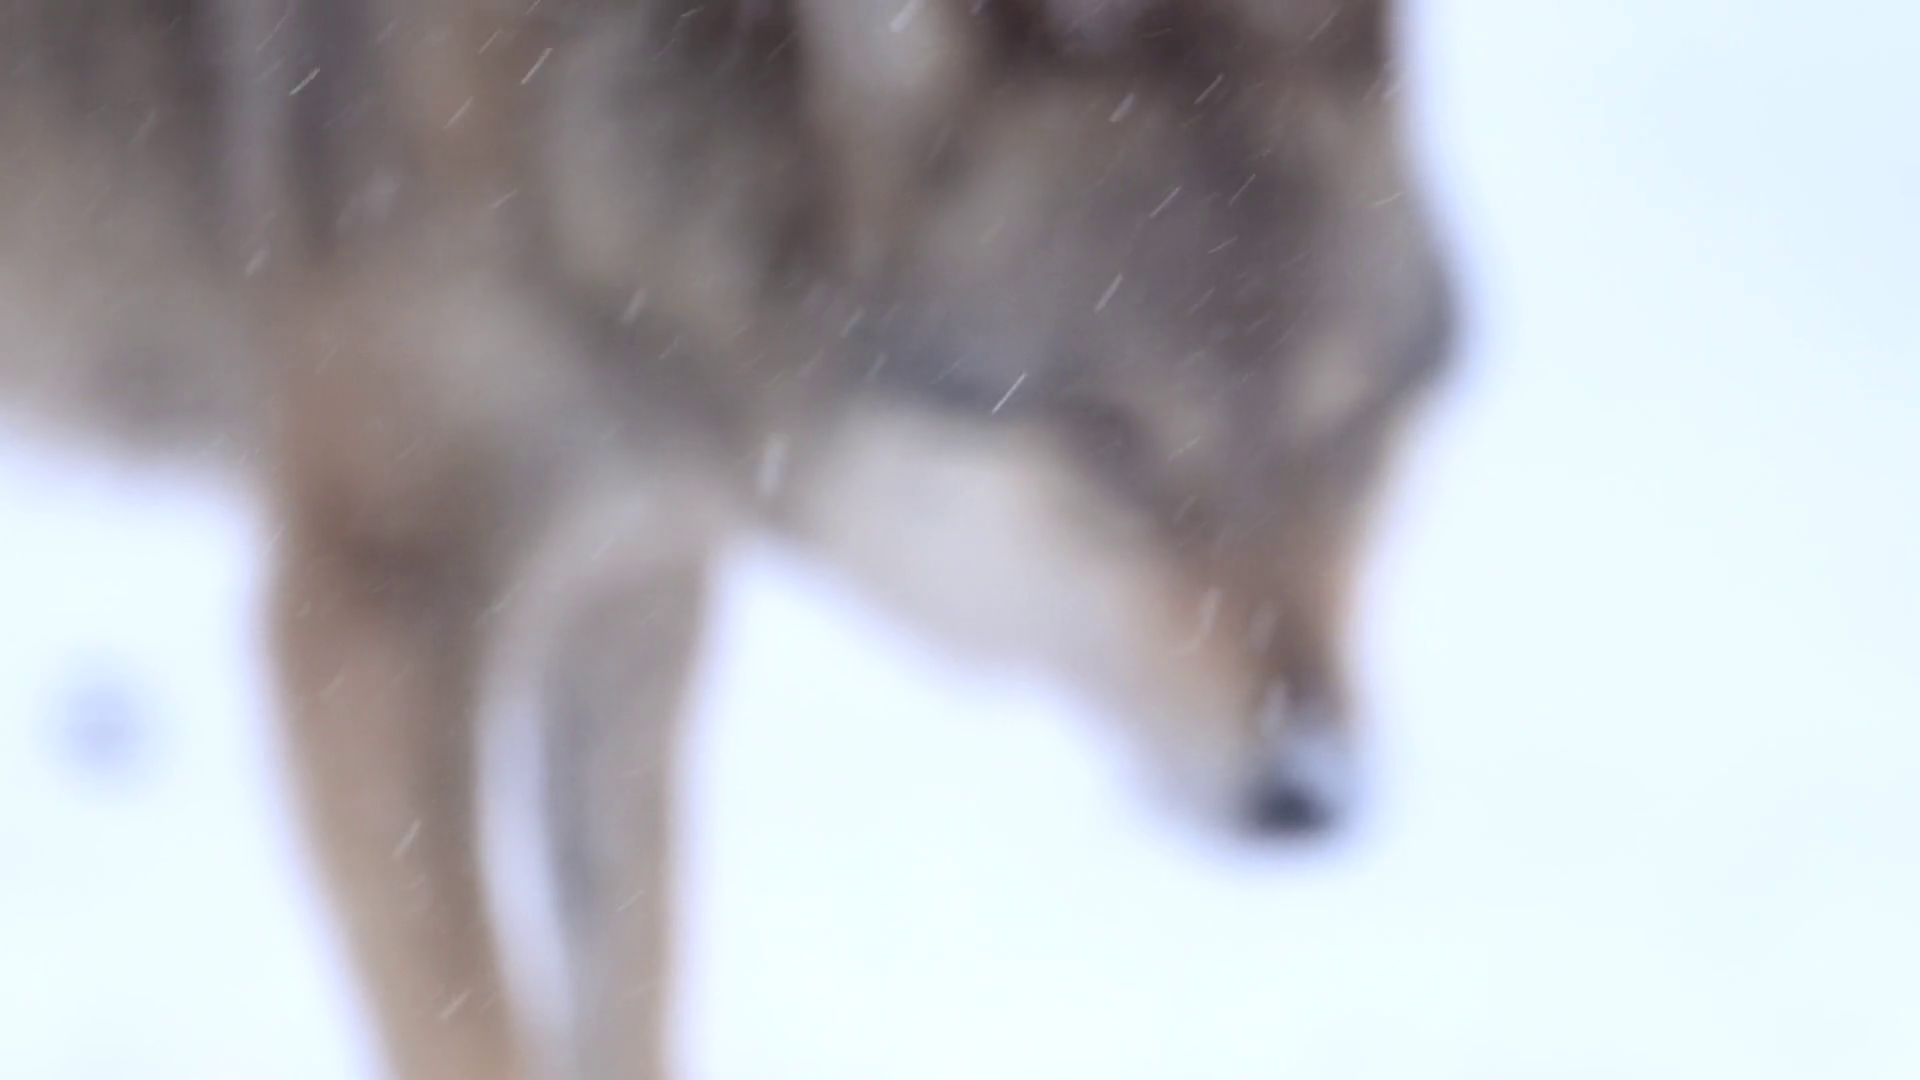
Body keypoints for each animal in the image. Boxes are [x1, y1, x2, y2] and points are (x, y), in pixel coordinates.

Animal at [0, 0, 1453, 1076]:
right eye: (1114, 447)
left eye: (1349, 438)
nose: (1307, 795)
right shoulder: (369, 603)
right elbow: (473, 1025)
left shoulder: (631, 580)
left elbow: (627, 975)